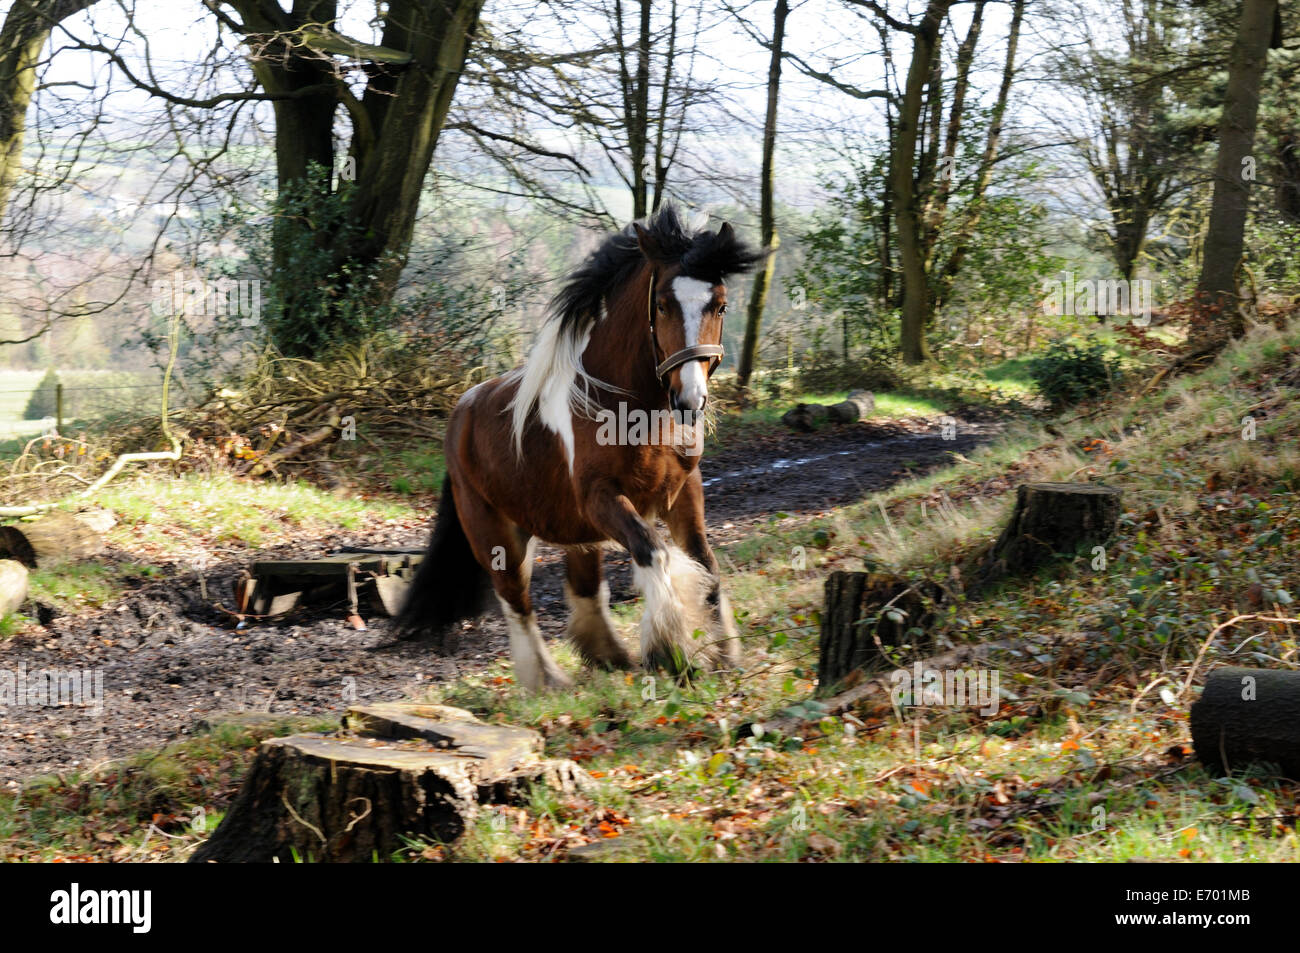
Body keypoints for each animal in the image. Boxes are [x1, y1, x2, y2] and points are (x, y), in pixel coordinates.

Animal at [397, 204, 763, 690]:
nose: (689, 400)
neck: (631, 410)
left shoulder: (683, 491)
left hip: (571, 528)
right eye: (662, 304)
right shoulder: (601, 497)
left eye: (719, 304)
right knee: (516, 602)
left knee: (583, 587)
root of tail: (461, 413)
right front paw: (671, 653)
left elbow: (705, 562)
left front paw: (725, 653)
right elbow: (654, 550)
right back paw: (546, 680)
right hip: (496, 533)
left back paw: (608, 656)